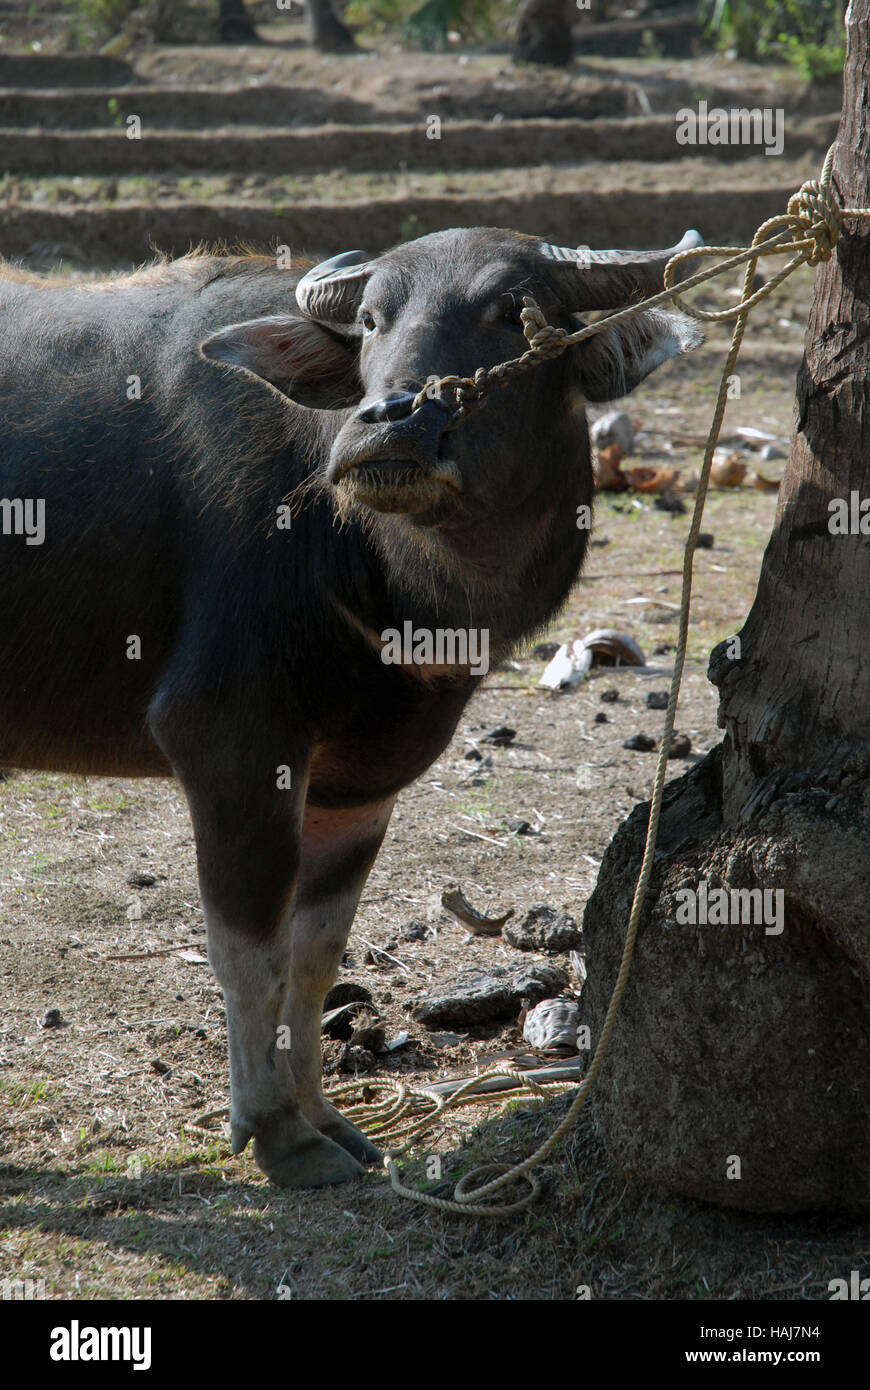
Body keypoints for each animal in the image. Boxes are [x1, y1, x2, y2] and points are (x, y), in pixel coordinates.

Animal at [0, 226, 701, 1185]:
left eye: (511, 312)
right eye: (372, 320)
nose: (390, 419)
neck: (380, 572)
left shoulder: (360, 785)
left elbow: (314, 956)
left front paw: (324, 1115)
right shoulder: (233, 749)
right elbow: (249, 956)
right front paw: (278, 1133)